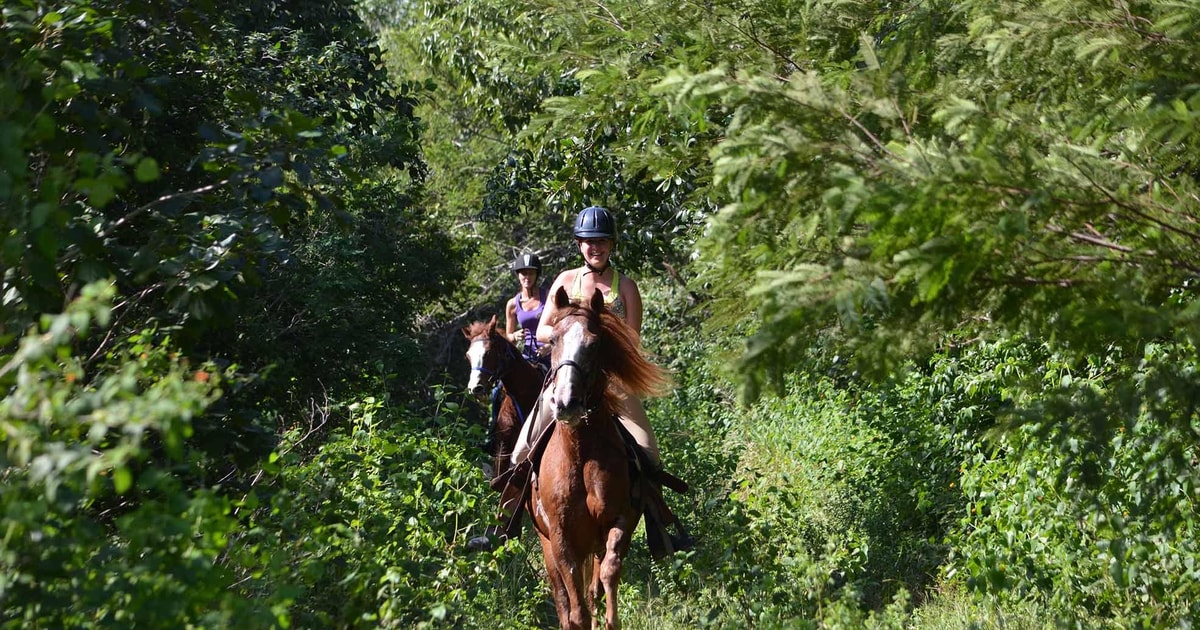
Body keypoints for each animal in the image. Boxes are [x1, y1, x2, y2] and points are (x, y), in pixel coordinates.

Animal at [462, 315, 544, 541]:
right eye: (468, 356)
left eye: (488, 352)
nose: (475, 388)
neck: (524, 395)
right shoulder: (503, 445)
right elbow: (498, 482)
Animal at [530, 286, 671, 630]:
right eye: (553, 340)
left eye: (594, 345)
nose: (566, 403)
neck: (579, 454)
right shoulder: (561, 539)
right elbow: (575, 607)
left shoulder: (620, 520)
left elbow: (607, 574)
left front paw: (610, 620)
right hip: (548, 545)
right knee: (563, 598)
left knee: (592, 586)